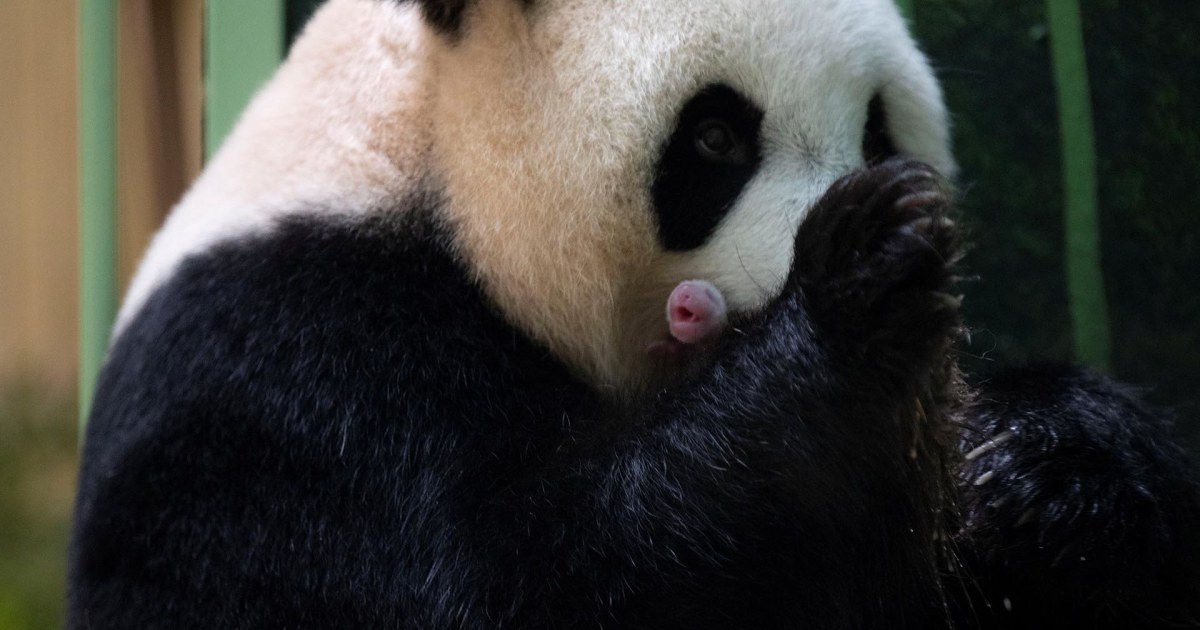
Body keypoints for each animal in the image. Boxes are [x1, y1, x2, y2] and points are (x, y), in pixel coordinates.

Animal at [70, 0, 1200, 628]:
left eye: (880, 129)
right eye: (714, 138)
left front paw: (1043, 460)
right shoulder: (290, 382)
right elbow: (532, 588)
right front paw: (860, 289)